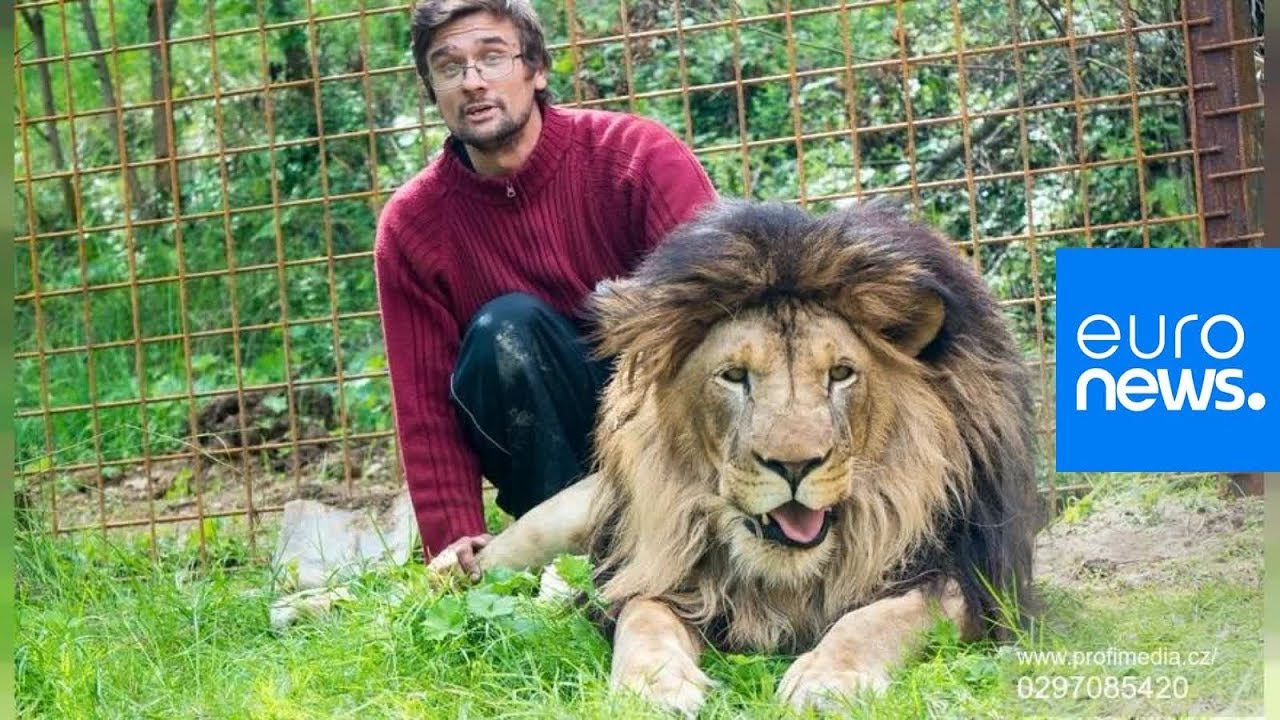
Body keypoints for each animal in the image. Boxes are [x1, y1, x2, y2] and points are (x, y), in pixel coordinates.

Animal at [429, 199, 1039, 713]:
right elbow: (641, 618)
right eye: (735, 376)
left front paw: (826, 680)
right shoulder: (663, 570)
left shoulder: (968, 579)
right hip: (547, 531)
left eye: (840, 374)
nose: (794, 466)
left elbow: (880, 617)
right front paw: (657, 688)